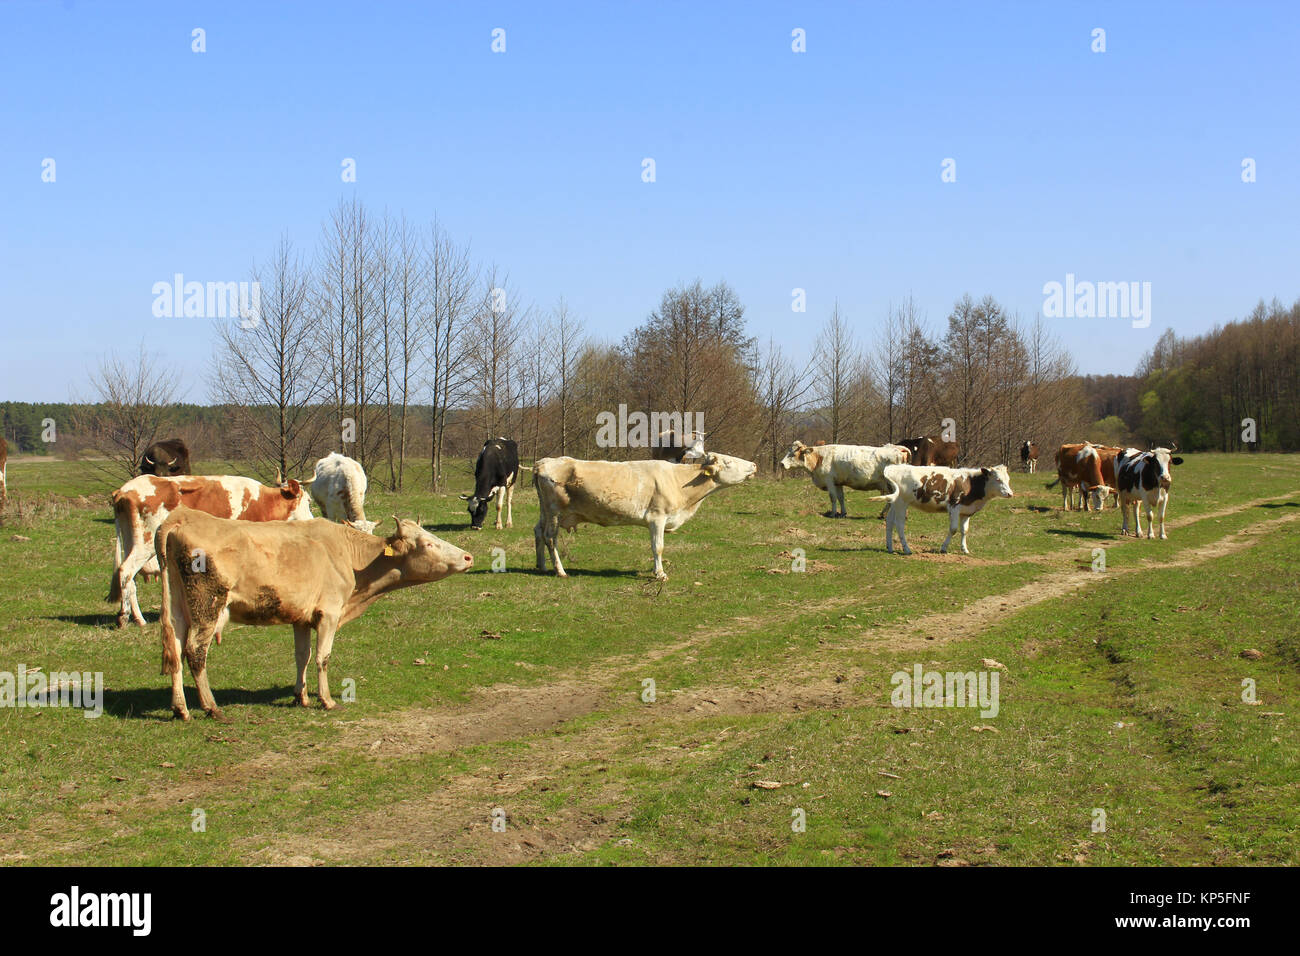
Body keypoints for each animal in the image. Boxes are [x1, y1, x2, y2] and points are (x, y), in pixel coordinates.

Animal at [109, 475, 313, 628]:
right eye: (308, 501)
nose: (312, 520)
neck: (261, 502)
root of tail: (124, 490)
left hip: (131, 540)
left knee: (130, 578)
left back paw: (137, 618)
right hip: (146, 543)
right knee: (126, 571)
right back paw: (126, 617)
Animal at [156, 511, 472, 720]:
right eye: (428, 544)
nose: (468, 557)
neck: (350, 555)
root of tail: (181, 517)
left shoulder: (301, 617)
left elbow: (302, 656)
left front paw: (301, 696)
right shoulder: (328, 613)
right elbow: (322, 657)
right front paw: (327, 700)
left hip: (178, 607)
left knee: (175, 649)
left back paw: (180, 708)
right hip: (207, 605)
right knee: (195, 651)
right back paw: (211, 707)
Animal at [533, 452, 757, 580]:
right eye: (728, 462)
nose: (754, 465)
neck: (679, 481)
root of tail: (544, 461)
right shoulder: (657, 517)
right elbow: (658, 547)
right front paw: (660, 574)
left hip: (545, 511)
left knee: (538, 532)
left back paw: (541, 566)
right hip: (554, 511)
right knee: (550, 538)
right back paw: (560, 571)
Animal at [780, 441, 910, 518]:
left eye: (793, 454)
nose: (781, 464)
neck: (818, 458)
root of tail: (897, 448)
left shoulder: (829, 480)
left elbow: (832, 497)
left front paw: (833, 513)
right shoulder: (838, 482)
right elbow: (841, 498)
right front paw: (843, 513)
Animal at [872, 463, 1014, 555]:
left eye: (1008, 479)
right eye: (998, 479)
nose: (1010, 494)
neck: (971, 483)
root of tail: (892, 467)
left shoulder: (966, 512)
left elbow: (964, 531)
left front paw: (965, 549)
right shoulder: (954, 507)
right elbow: (954, 529)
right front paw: (944, 548)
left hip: (895, 502)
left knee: (890, 521)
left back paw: (890, 547)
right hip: (902, 503)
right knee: (900, 524)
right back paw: (907, 549)